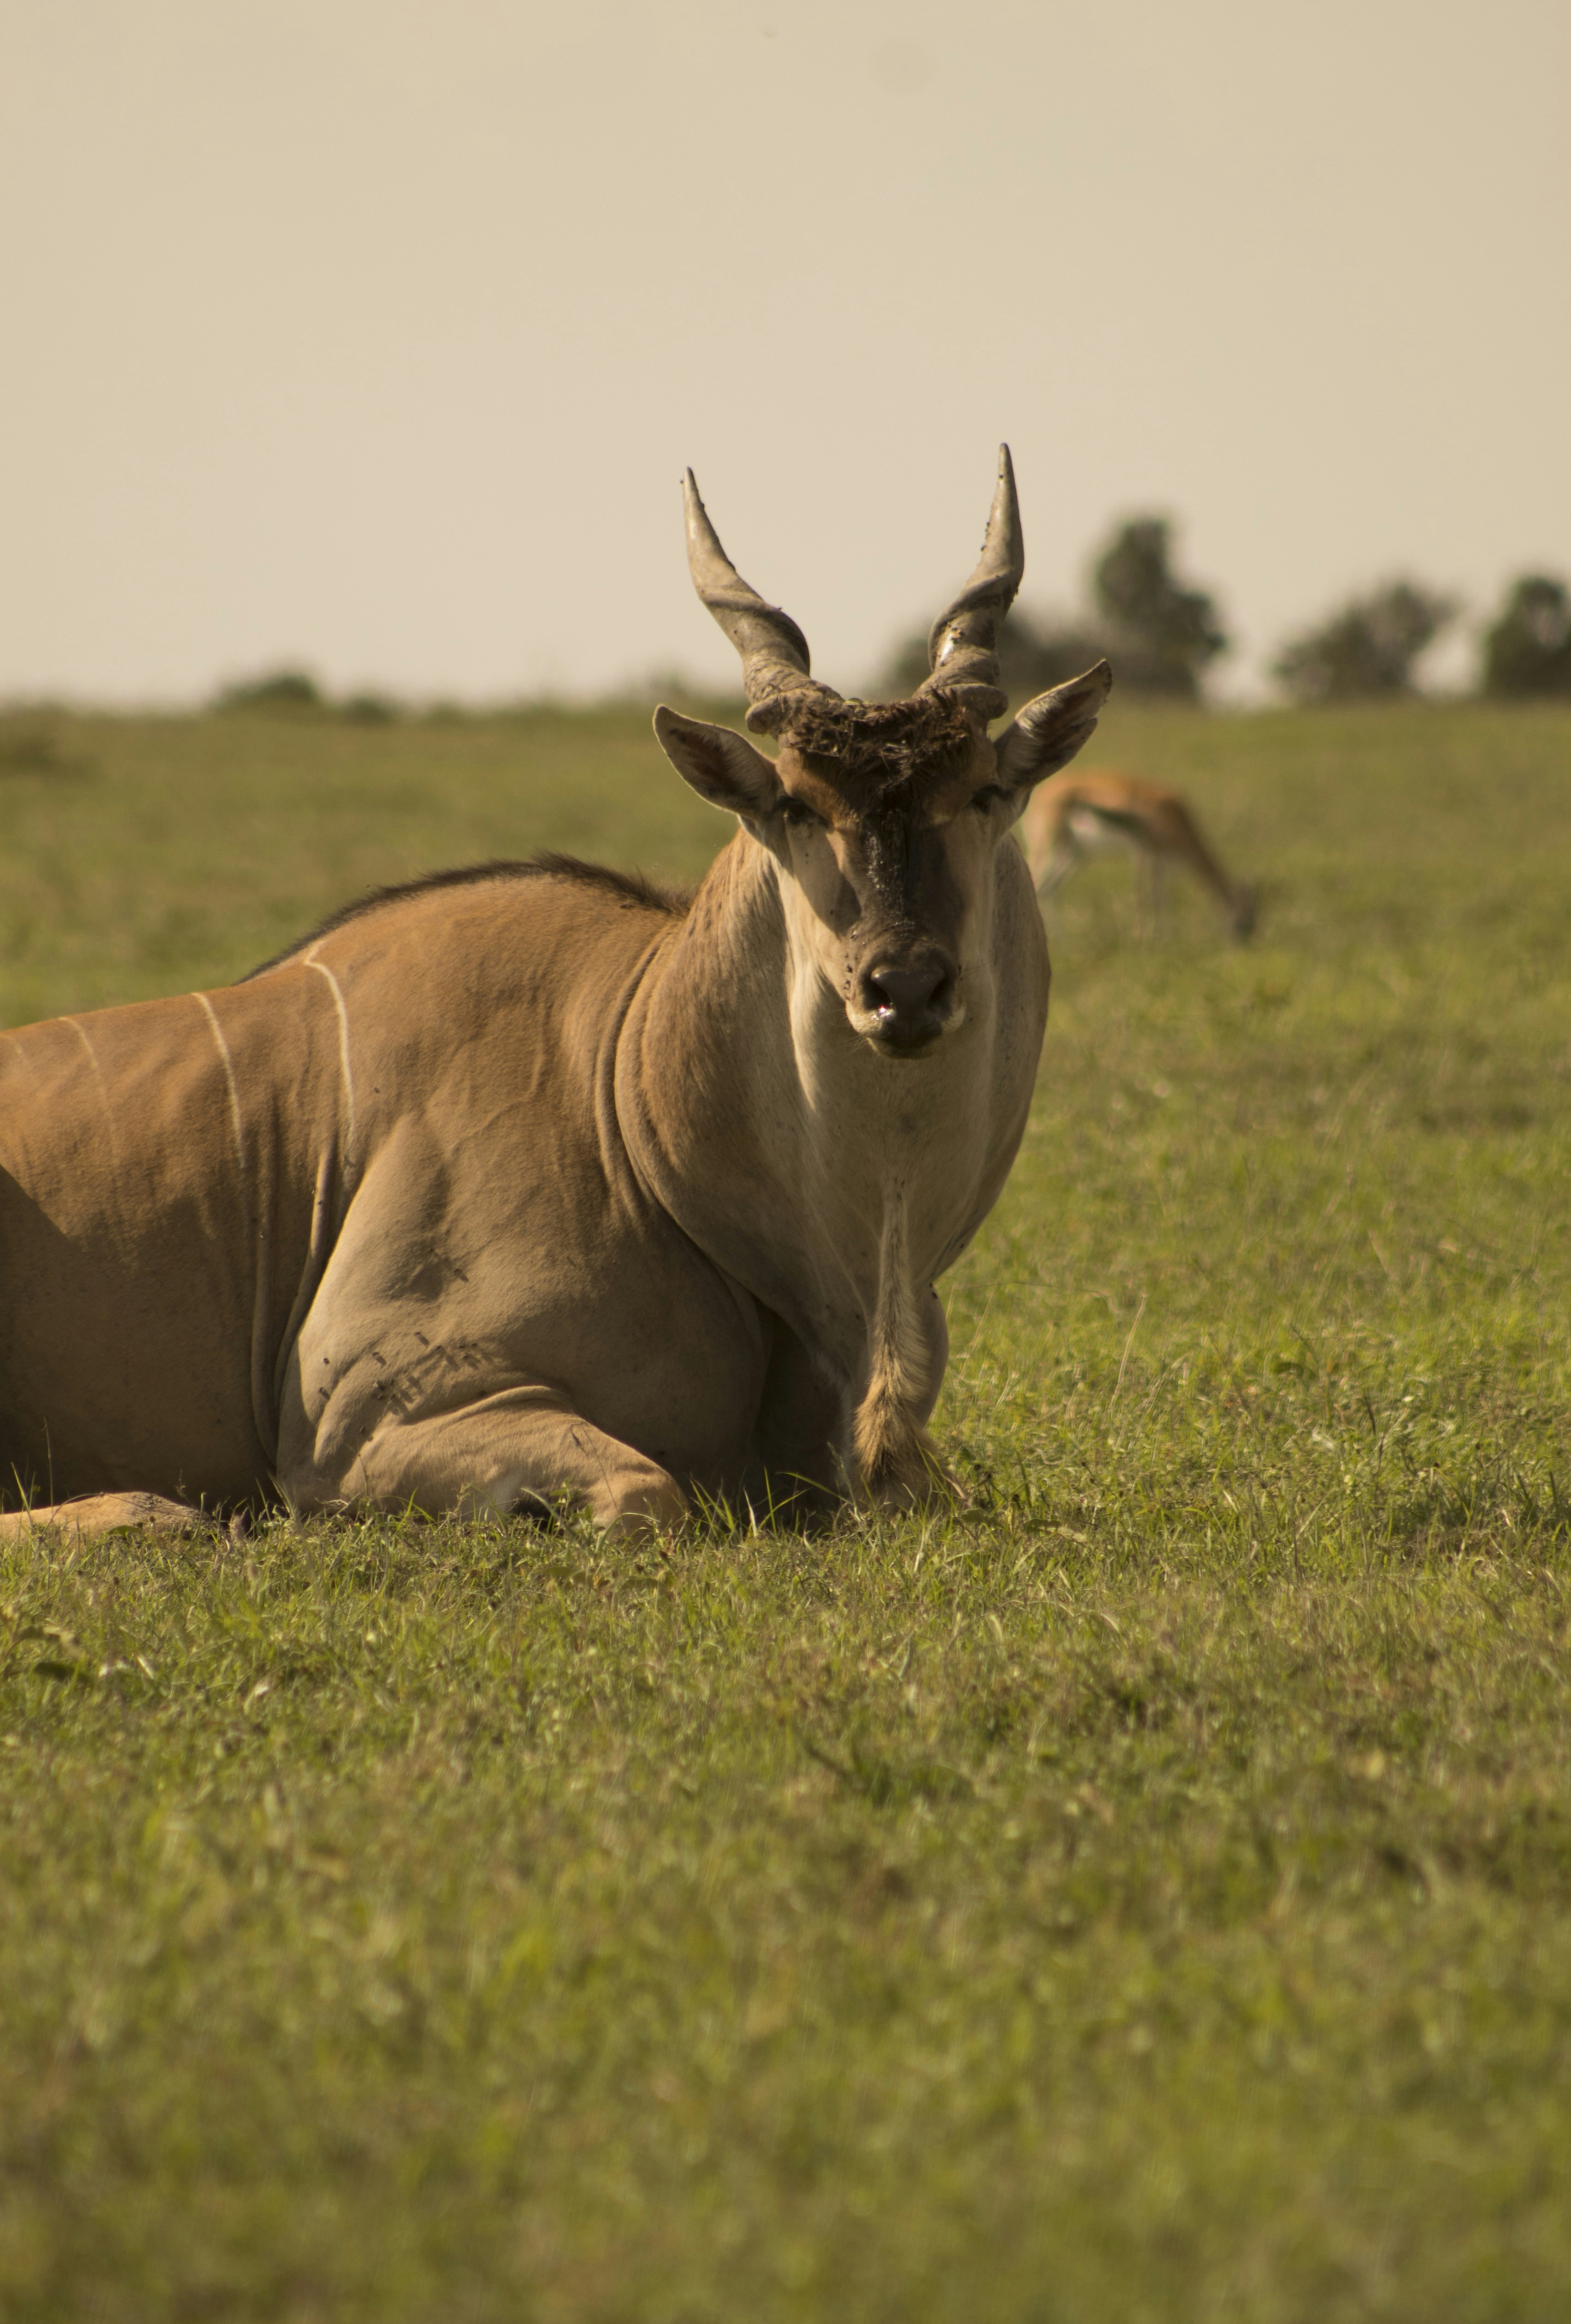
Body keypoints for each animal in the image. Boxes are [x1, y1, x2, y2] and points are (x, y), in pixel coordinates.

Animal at [1020, 769, 1258, 939]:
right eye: (1248, 917)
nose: (1244, 944)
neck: (1173, 817)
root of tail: (1041, 793)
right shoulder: (1143, 854)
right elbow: (1143, 898)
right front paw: (1144, 939)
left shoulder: (1161, 863)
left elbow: (1161, 900)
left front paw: (1165, 939)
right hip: (1046, 849)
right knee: (1036, 885)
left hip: (1076, 856)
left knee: (1048, 890)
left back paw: (1063, 942)